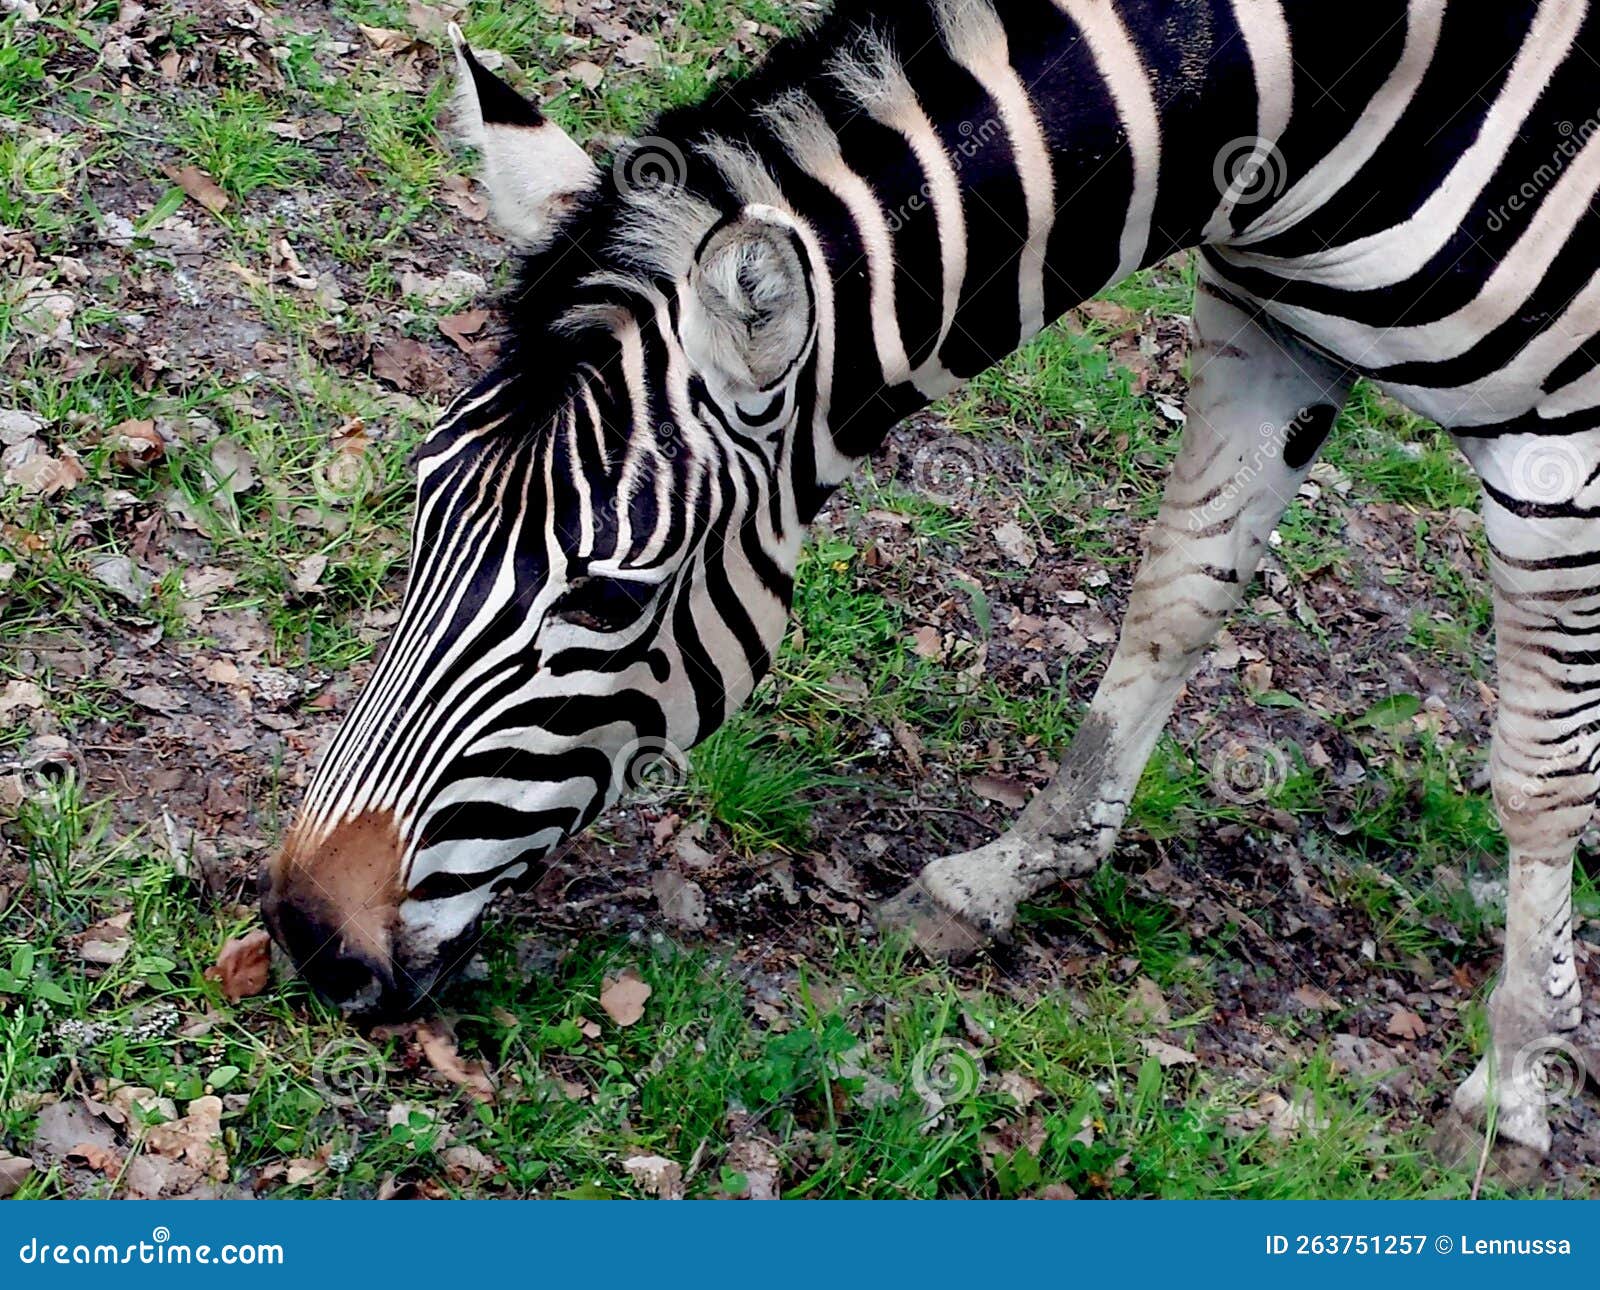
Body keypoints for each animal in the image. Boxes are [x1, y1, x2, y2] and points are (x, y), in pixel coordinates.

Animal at [261, 0, 1600, 1169]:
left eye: (607, 602)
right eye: (420, 495)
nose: (303, 936)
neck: (1335, 93)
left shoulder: (1560, 446)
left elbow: (1539, 783)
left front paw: (1512, 1096)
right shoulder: (1270, 332)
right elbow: (1174, 597)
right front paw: (1001, 878)